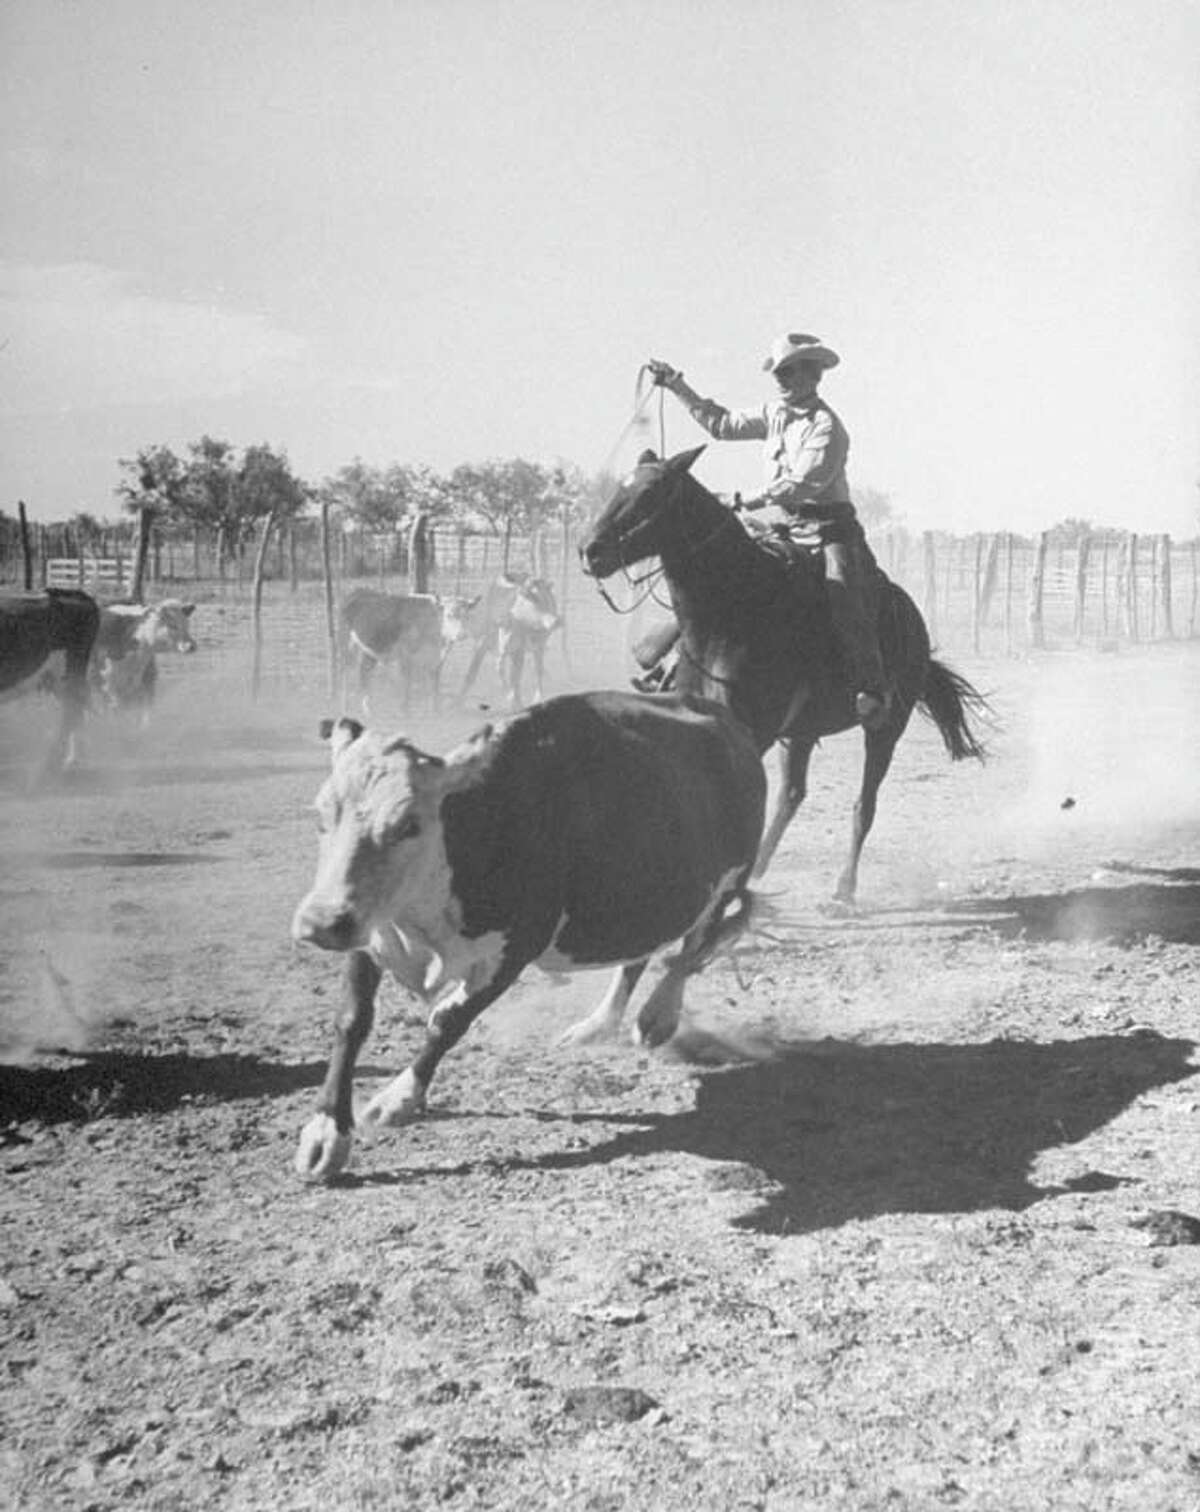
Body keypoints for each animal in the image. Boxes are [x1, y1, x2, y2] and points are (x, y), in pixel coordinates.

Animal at [0, 588, 100, 776]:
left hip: (70, 670)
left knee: (71, 712)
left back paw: (50, 766)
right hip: (57, 679)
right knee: (77, 711)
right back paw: (72, 760)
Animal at [290, 690, 766, 1182]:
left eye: (408, 825)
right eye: (322, 817)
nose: (319, 923)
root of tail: (725, 720)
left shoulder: (515, 949)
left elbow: (447, 1022)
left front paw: (398, 1098)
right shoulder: (371, 930)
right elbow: (353, 1019)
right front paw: (325, 1133)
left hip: (728, 881)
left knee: (692, 950)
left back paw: (658, 1016)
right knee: (639, 957)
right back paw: (599, 1023)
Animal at [340, 588, 479, 716]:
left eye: (467, 616)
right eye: (449, 615)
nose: (461, 635)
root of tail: (359, 591)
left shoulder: (437, 659)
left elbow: (434, 684)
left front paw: (435, 710)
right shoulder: (406, 654)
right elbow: (407, 682)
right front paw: (405, 710)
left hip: (370, 649)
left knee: (364, 672)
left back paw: (368, 708)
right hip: (348, 644)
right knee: (346, 672)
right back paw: (344, 705)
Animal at [458, 572, 561, 709]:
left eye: (548, 599)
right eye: (533, 598)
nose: (556, 621)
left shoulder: (518, 648)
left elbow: (514, 677)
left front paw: (514, 701)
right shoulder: (483, 643)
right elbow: (473, 673)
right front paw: (456, 703)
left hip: (537, 646)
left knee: (536, 670)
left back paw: (535, 699)